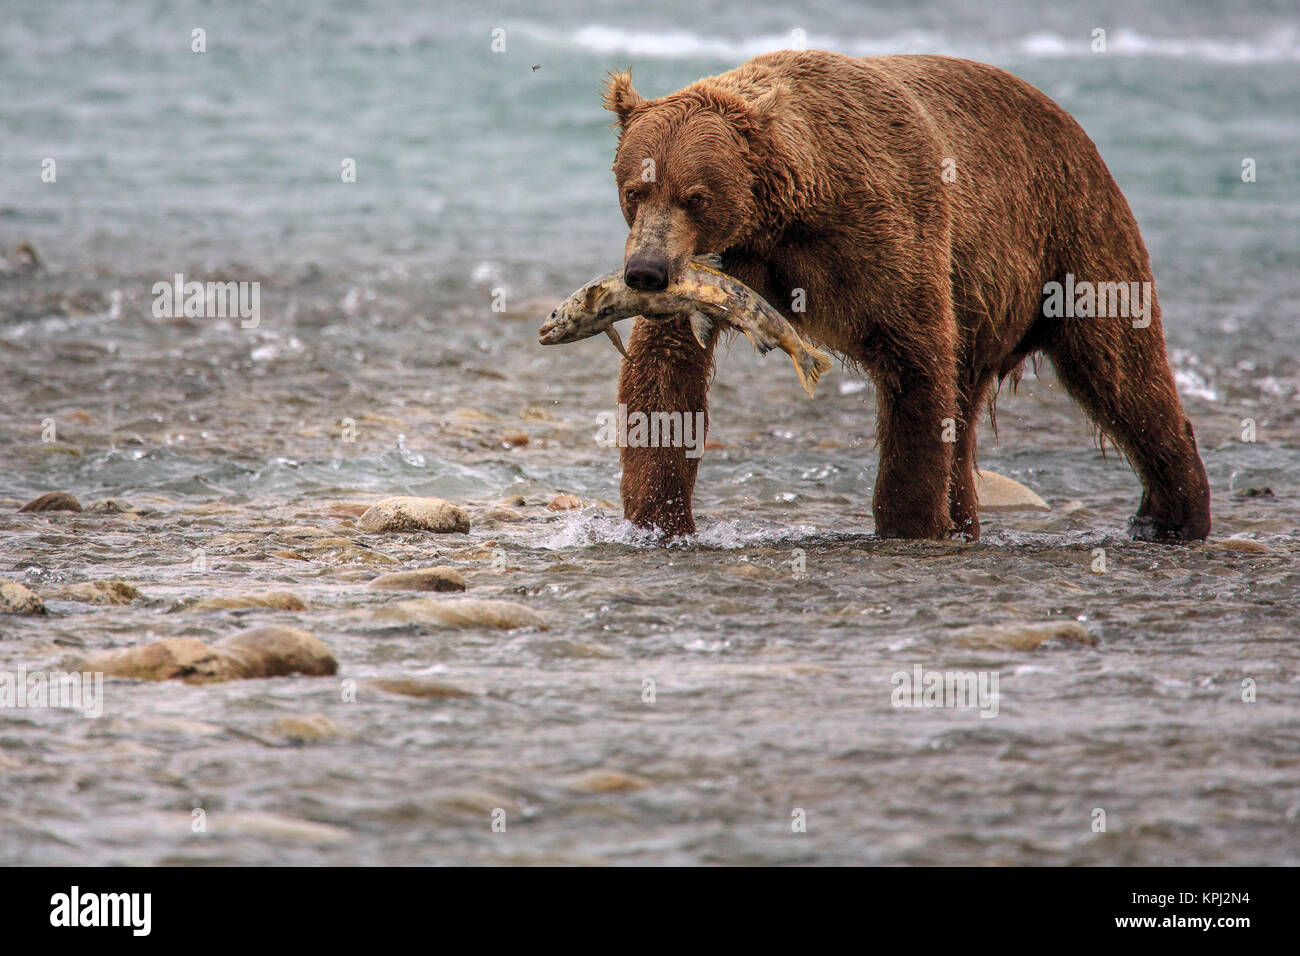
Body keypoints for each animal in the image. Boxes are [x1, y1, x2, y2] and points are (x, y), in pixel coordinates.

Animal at [602, 50, 1211, 543]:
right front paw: (659, 518)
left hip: (1073, 236)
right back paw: (966, 522)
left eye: (695, 196)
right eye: (635, 189)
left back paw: (1170, 515)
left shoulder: (885, 230)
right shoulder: (722, 271)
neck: (786, 212)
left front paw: (908, 520)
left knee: (1119, 368)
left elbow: (913, 363)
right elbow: (665, 374)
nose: (646, 272)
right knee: (967, 404)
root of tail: (1074, 126)